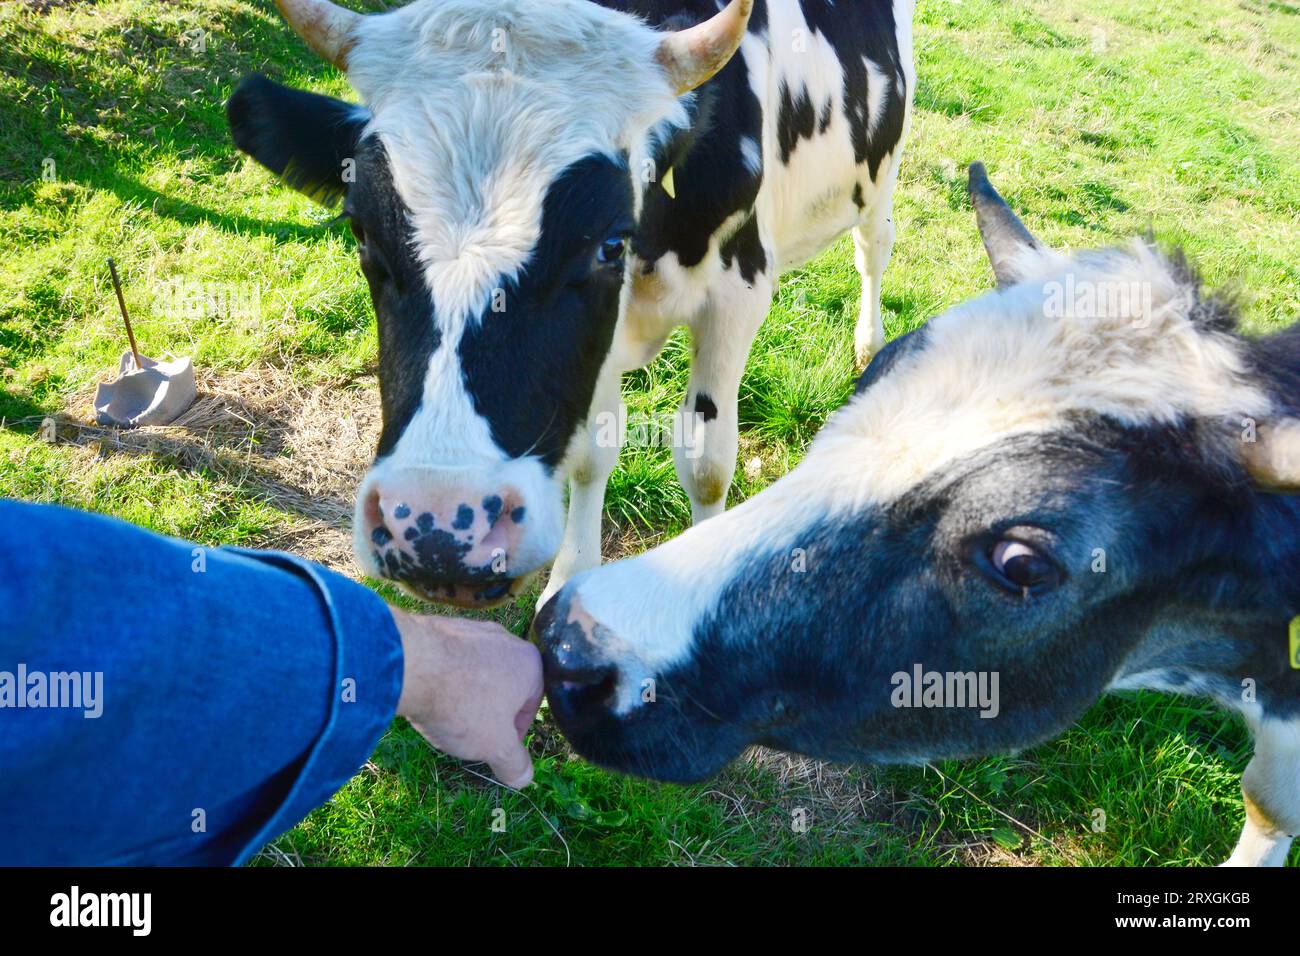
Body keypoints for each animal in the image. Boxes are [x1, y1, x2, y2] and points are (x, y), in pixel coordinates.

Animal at [227, 0, 915, 608]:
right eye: (362, 230)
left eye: (609, 242)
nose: (440, 528)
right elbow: (591, 452)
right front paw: (567, 579)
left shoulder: (737, 290)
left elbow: (706, 461)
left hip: (881, 171)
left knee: (874, 246)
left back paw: (871, 345)